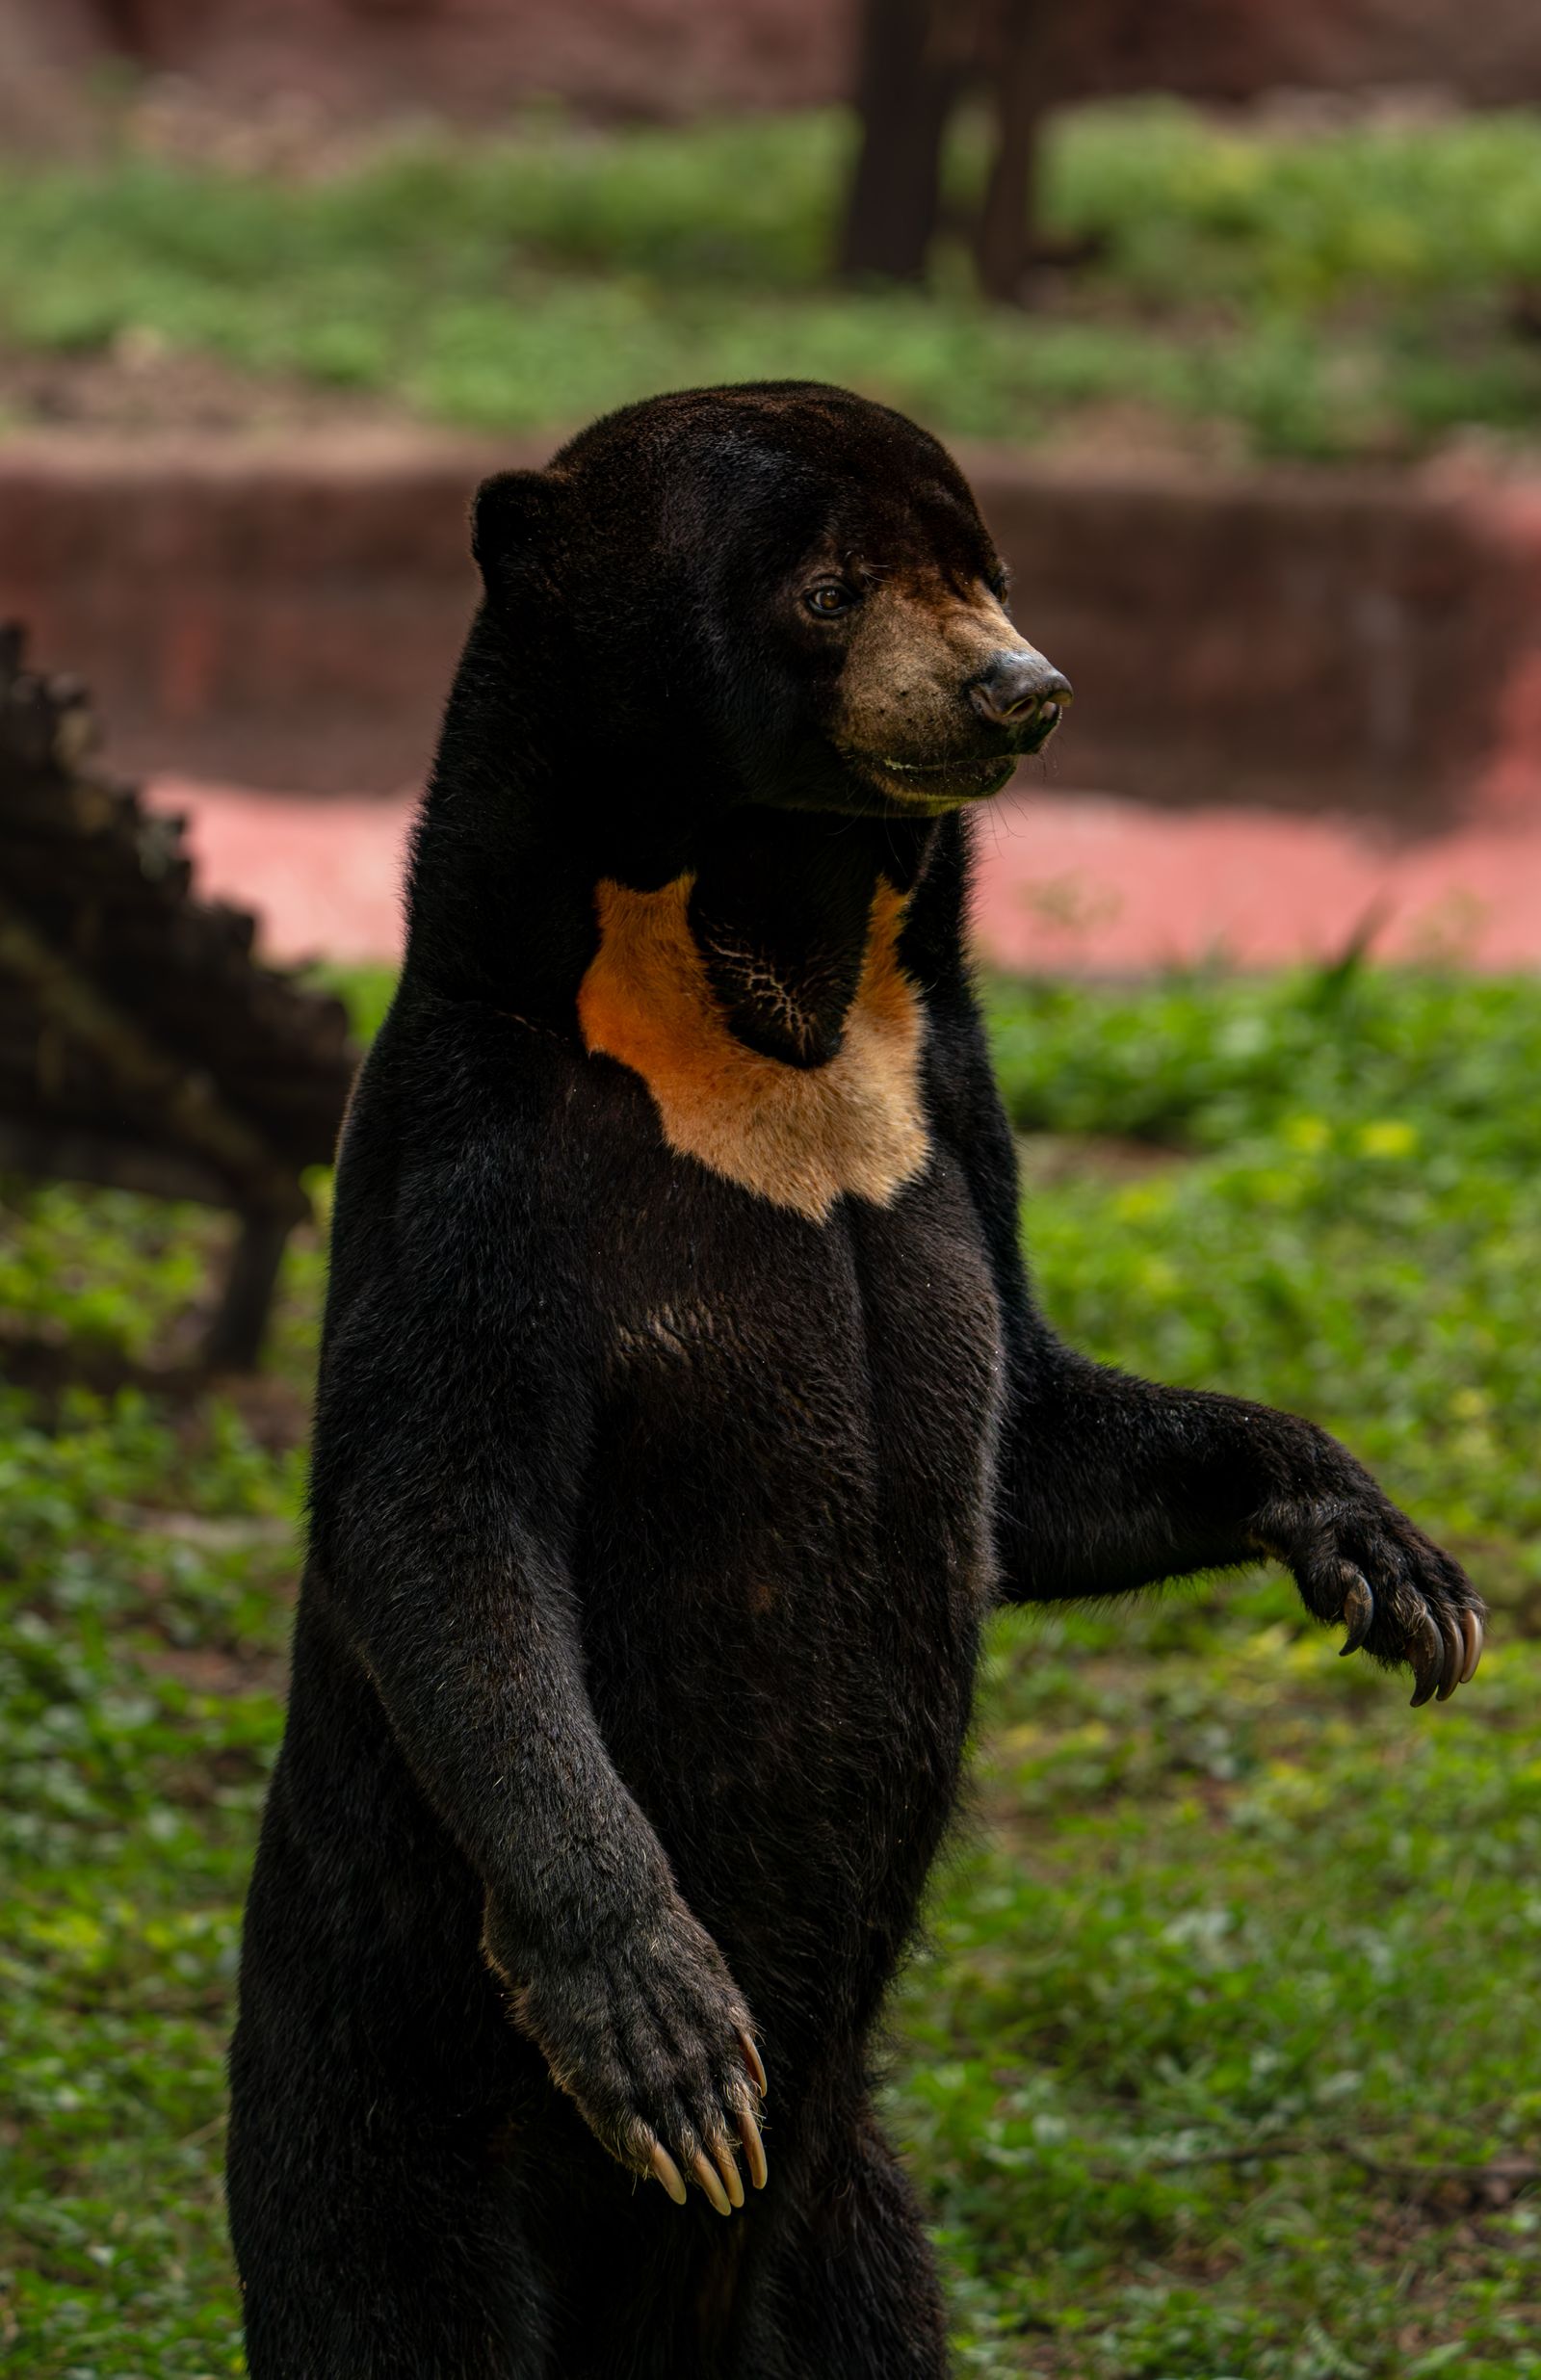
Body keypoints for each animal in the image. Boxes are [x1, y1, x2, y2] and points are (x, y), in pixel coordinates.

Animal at [227, 382, 1486, 2379]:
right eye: (828, 589)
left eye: (986, 568)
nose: (1020, 688)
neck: (762, 1001)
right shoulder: (470, 1149)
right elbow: (437, 1517)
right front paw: (661, 2023)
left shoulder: (949, 1105)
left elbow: (1032, 1448)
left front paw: (1391, 1567)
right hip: (384, 2102)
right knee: (390, 2303)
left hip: (845, 2209)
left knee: (870, 2304)